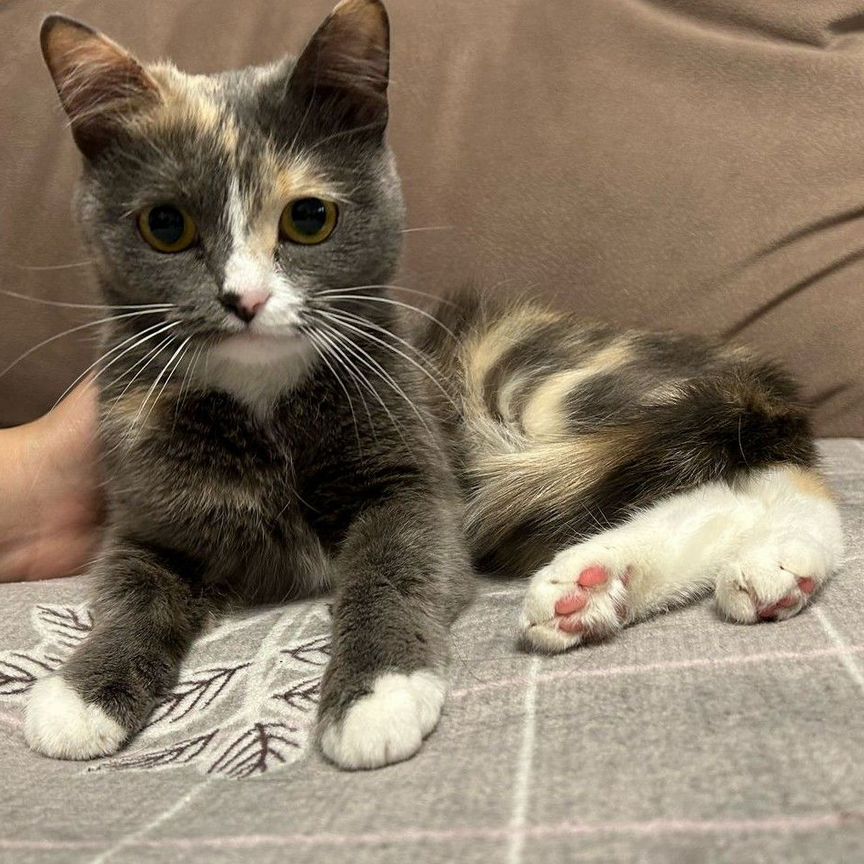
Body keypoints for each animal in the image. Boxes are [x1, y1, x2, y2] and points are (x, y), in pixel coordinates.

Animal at [24, 0, 843, 770]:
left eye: (309, 217)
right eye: (165, 226)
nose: (244, 299)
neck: (264, 399)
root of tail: (730, 365)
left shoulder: (418, 473)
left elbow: (398, 564)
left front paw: (377, 692)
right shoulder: (144, 504)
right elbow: (129, 592)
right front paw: (84, 690)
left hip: (521, 394)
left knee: (769, 476)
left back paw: (761, 563)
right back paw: (615, 584)